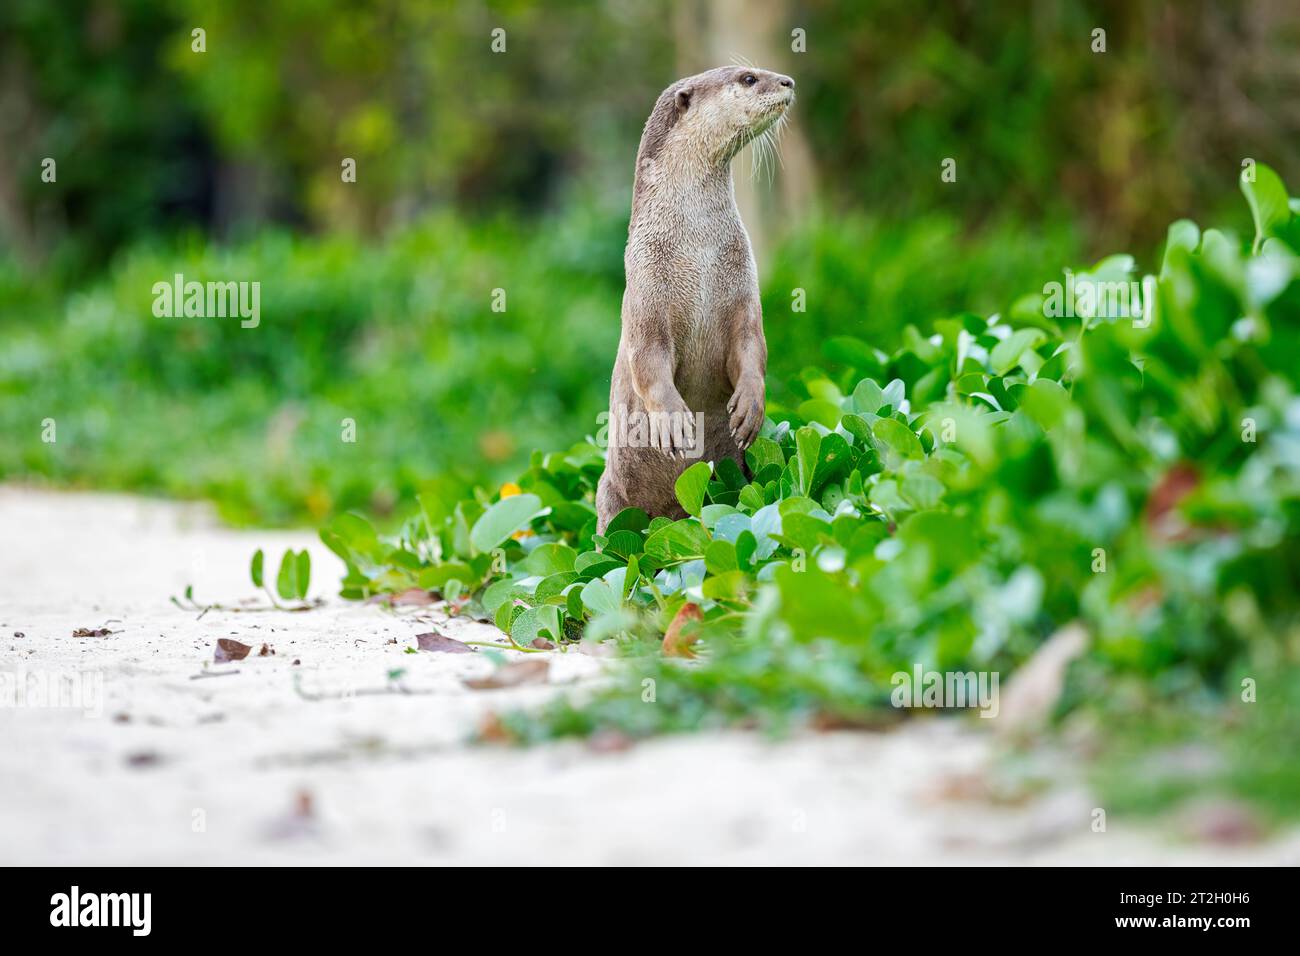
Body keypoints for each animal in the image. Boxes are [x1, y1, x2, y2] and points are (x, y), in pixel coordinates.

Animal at [596, 66, 795, 532]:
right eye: (748, 77)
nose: (788, 81)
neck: (698, 250)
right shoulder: (645, 289)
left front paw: (750, 408)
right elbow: (647, 359)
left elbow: (752, 344)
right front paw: (674, 424)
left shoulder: (743, 290)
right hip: (608, 499)